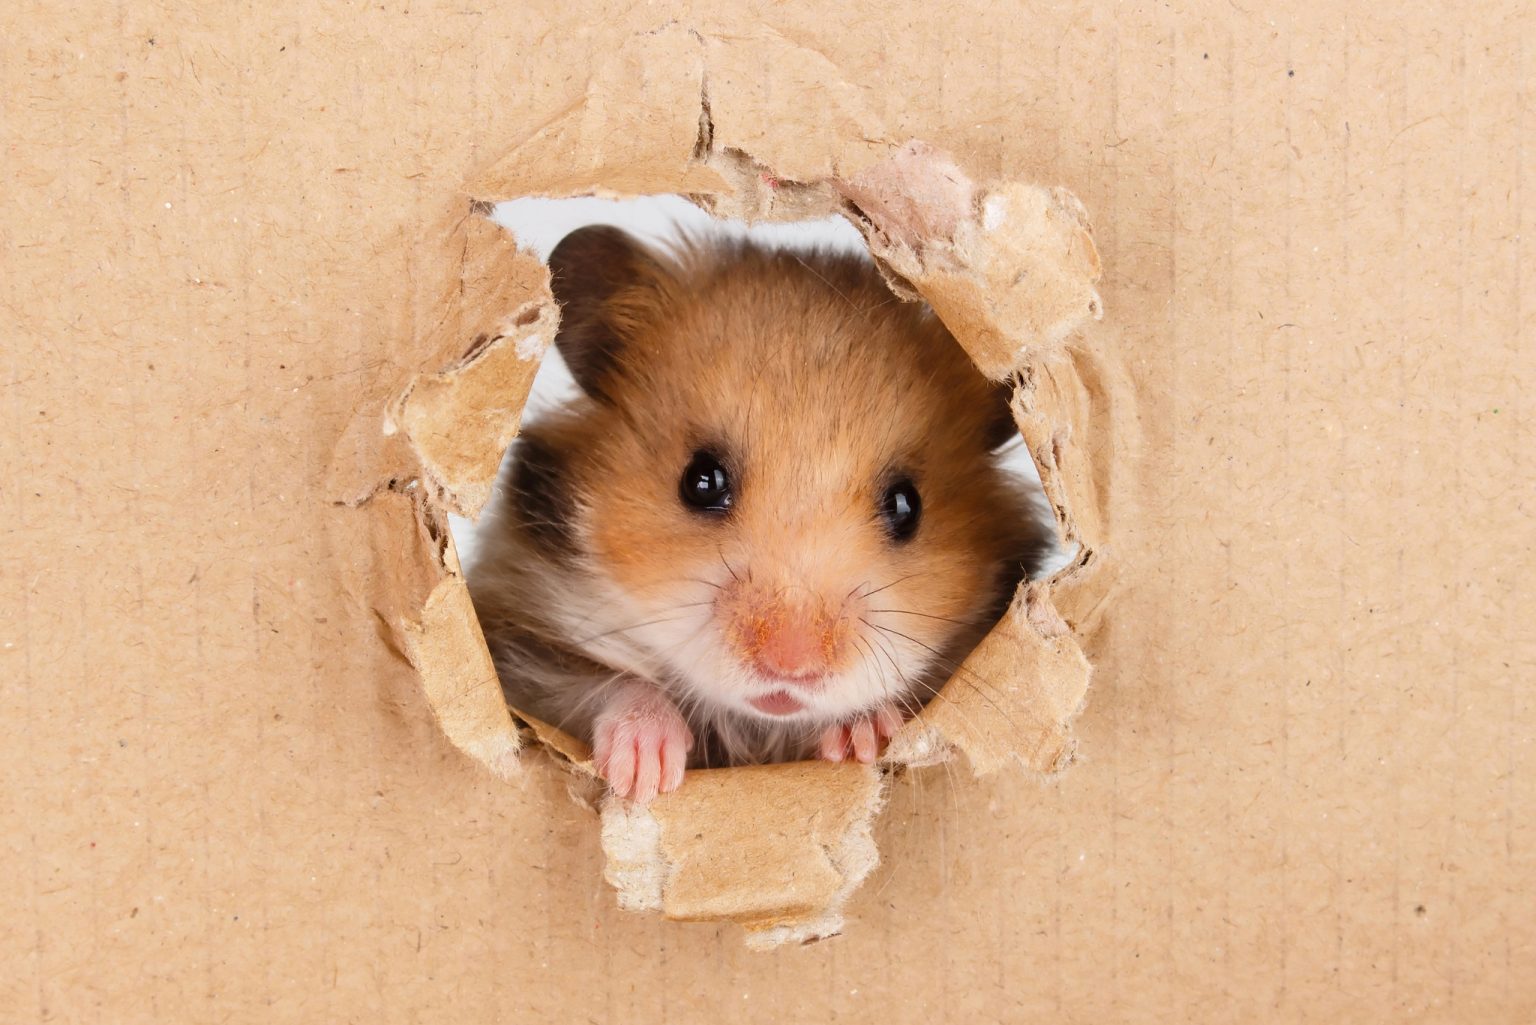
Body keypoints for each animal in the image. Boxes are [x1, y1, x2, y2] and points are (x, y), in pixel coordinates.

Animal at [467, 224, 1051, 802]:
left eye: (907, 506)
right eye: (701, 480)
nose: (791, 668)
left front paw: (862, 736)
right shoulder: (521, 648)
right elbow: (608, 684)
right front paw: (646, 772)